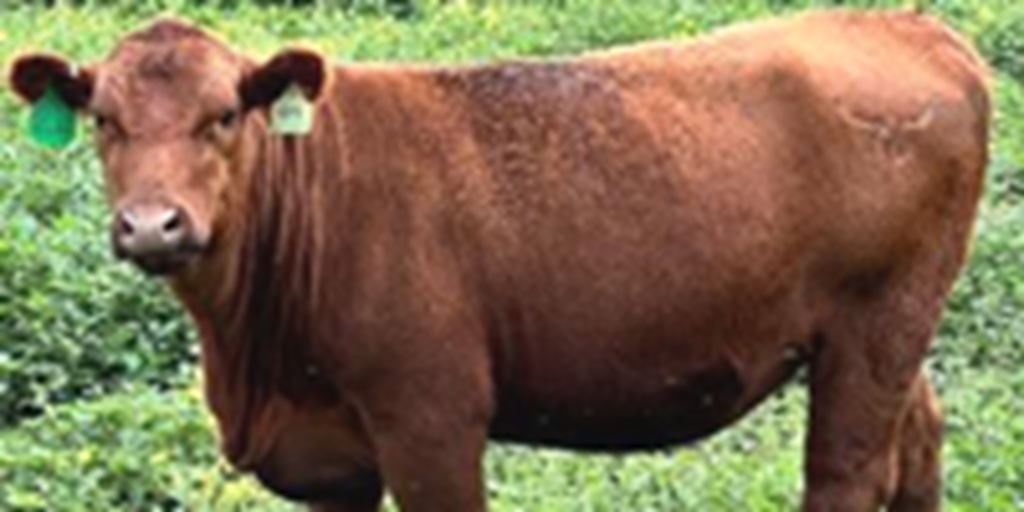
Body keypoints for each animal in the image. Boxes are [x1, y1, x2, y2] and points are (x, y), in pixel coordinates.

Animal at [9, 8, 989, 512]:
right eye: (104, 121)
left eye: (223, 116)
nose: (153, 227)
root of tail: (908, 25)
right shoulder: (327, 459)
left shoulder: (431, 419)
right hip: (893, 333)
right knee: (920, 441)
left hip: (875, 326)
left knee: (847, 469)